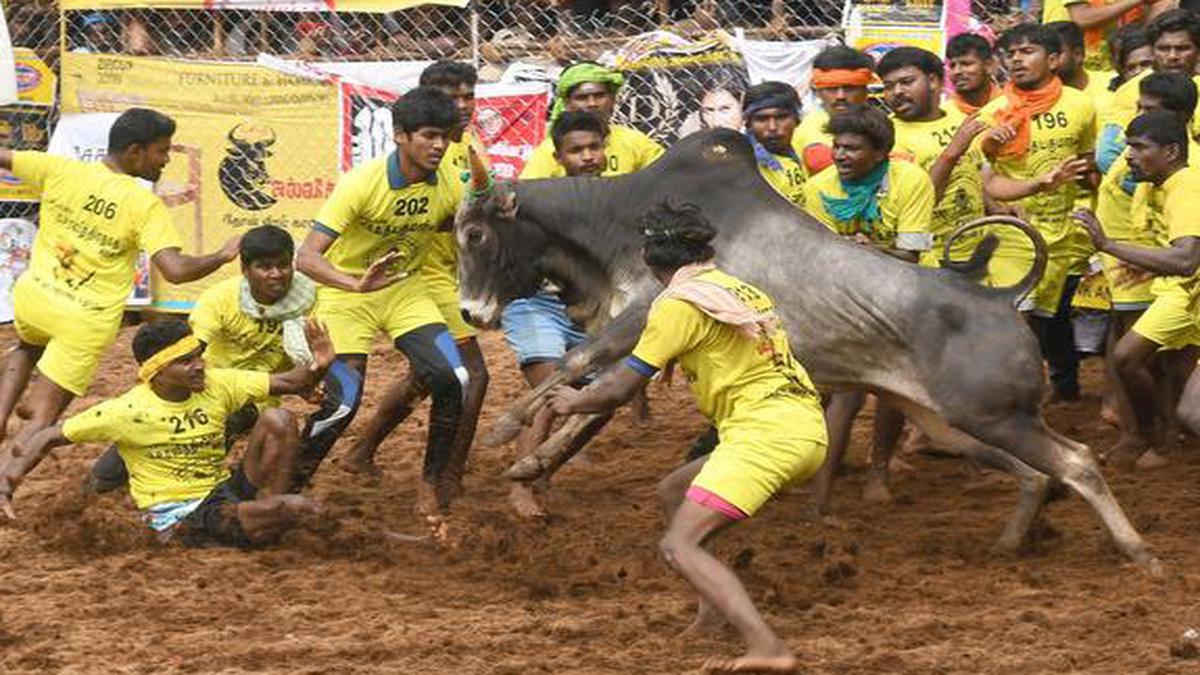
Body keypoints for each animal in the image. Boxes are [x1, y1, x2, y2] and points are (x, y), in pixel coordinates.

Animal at [452, 129, 1162, 575]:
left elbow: (575, 372)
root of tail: (996, 296)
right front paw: (533, 462)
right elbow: (590, 407)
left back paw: (1139, 552)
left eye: (477, 234)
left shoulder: (642, 315)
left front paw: (509, 432)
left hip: (994, 416)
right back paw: (1013, 541)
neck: (621, 221)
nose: (471, 313)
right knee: (1037, 473)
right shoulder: (641, 340)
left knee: (1077, 462)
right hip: (952, 421)